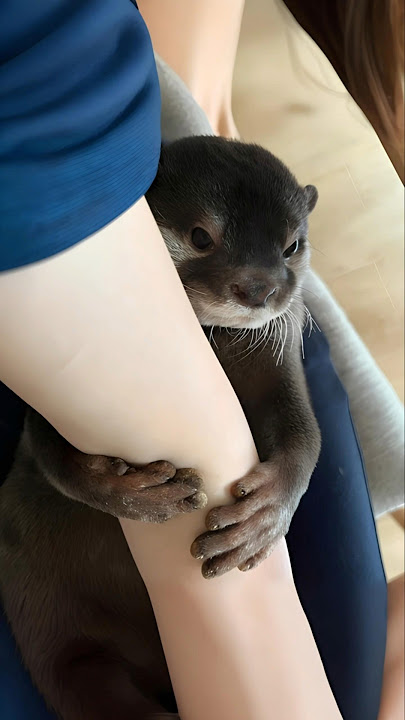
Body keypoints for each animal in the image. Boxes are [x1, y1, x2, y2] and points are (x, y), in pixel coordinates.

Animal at [0, 137, 321, 719]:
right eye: (200, 235)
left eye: (291, 245)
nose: (259, 289)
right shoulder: (42, 418)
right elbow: (50, 455)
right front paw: (130, 492)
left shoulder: (280, 369)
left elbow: (305, 437)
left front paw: (265, 515)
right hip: (67, 657)